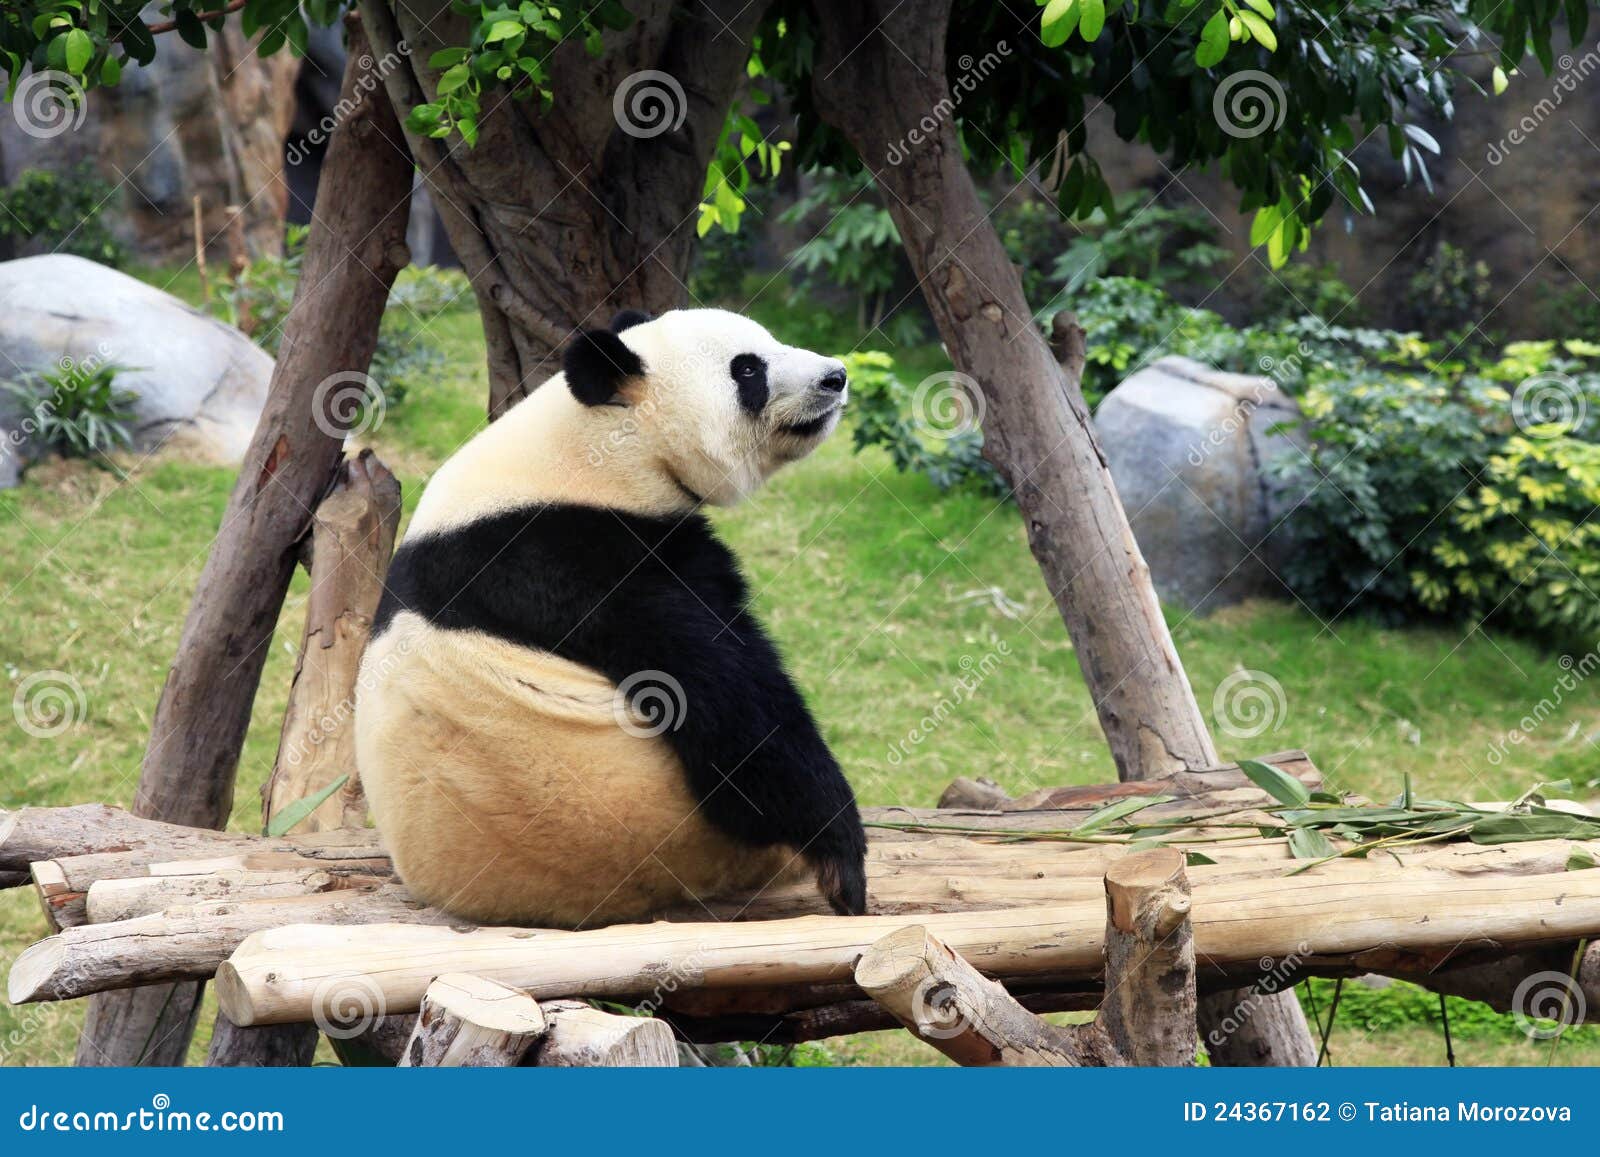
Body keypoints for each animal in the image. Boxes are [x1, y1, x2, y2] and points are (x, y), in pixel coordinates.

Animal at [354, 308, 867, 929]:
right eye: (747, 370)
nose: (835, 376)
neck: (595, 449)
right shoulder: (574, 560)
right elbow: (721, 694)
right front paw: (843, 858)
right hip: (669, 819)